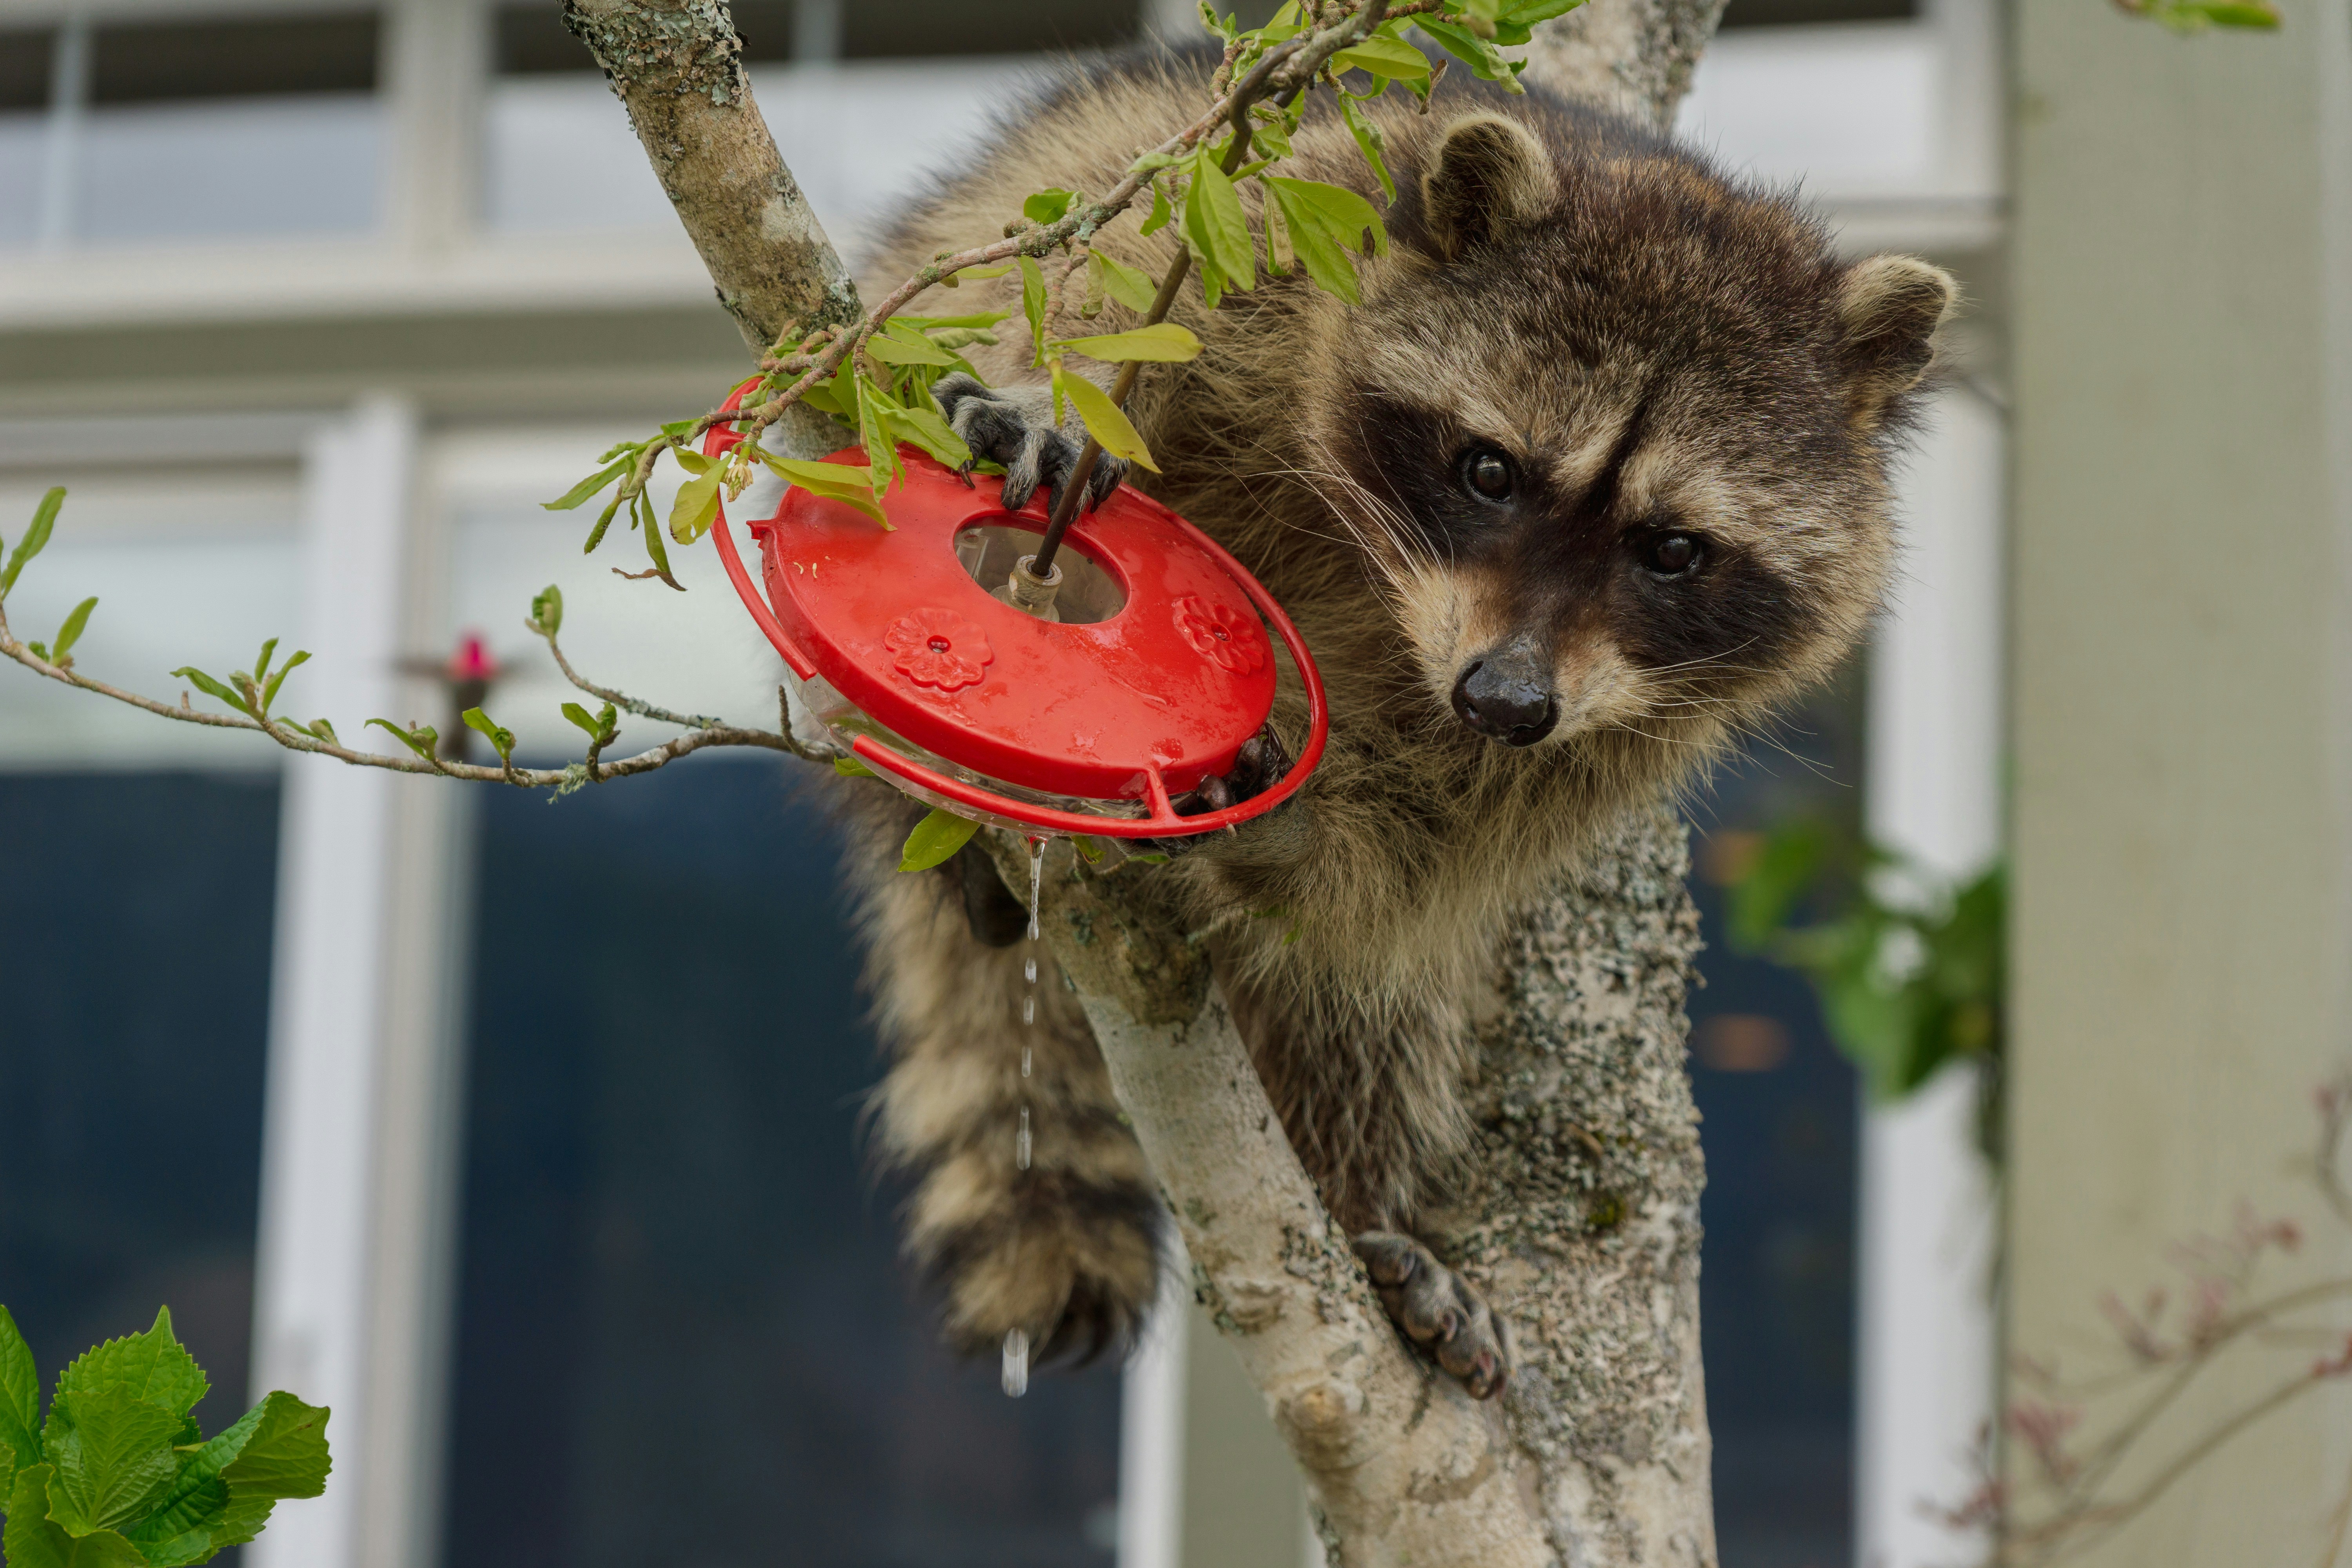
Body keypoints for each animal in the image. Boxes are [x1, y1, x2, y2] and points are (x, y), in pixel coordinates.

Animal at [840, 49, 1953, 1395]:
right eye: (1490, 471)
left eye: (1673, 549)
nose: (1503, 700)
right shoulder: (1284, 225)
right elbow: (1103, 286)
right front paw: (1057, 396)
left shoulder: (1615, 728)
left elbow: (1402, 867)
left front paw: (1291, 833)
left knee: (1376, 1001)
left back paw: (1360, 1194)